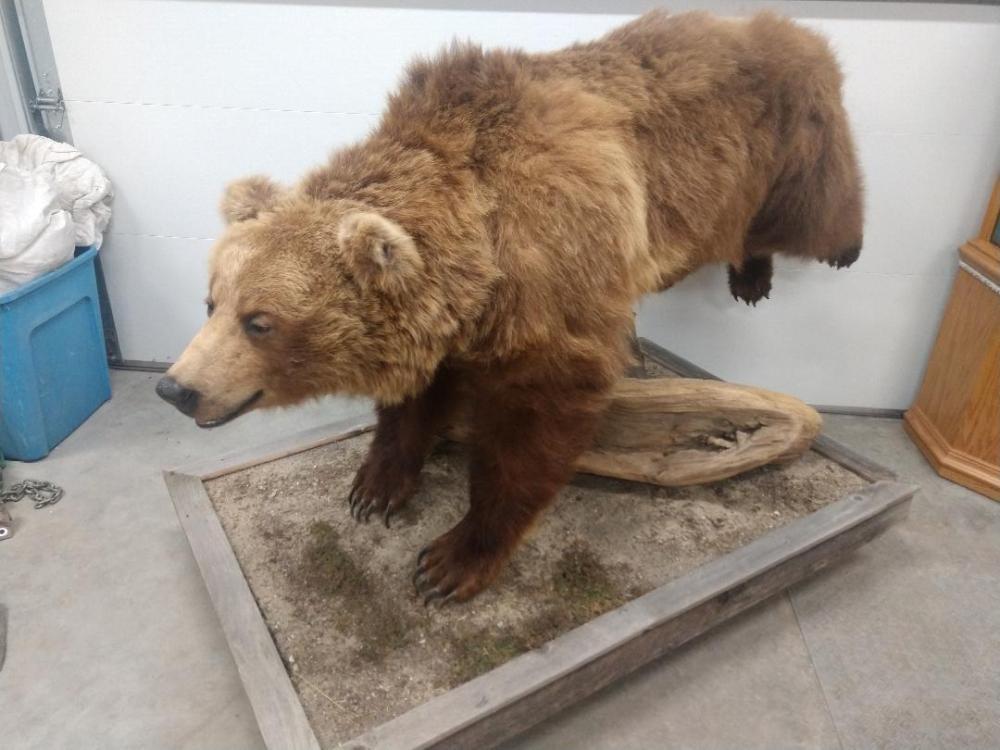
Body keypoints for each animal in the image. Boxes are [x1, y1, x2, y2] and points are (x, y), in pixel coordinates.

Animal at [157, 10, 863, 603]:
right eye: (211, 301)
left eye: (260, 321)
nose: (177, 387)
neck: (480, 236)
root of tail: (763, 22)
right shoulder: (451, 313)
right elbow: (418, 399)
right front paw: (376, 487)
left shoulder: (551, 274)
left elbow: (531, 428)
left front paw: (450, 562)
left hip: (782, 139)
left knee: (816, 205)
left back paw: (820, 252)